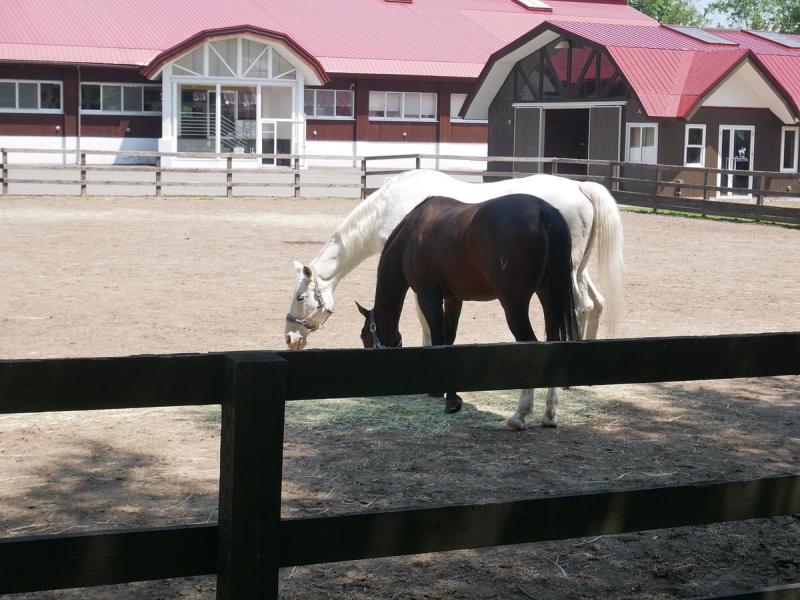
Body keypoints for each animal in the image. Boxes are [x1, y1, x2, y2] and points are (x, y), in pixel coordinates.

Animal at [285, 170, 623, 355]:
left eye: (301, 297)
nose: (290, 337)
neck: (389, 208)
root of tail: (580, 187)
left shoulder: (424, 285)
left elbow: (424, 318)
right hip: (576, 270)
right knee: (596, 304)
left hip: (567, 273)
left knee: (580, 308)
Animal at [356, 193, 580, 425]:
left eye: (365, 336)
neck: (412, 234)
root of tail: (542, 212)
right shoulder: (453, 299)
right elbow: (450, 340)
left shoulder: (428, 297)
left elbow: (439, 340)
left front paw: (450, 401)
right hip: (548, 297)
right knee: (553, 344)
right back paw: (549, 414)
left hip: (515, 307)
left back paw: (520, 414)